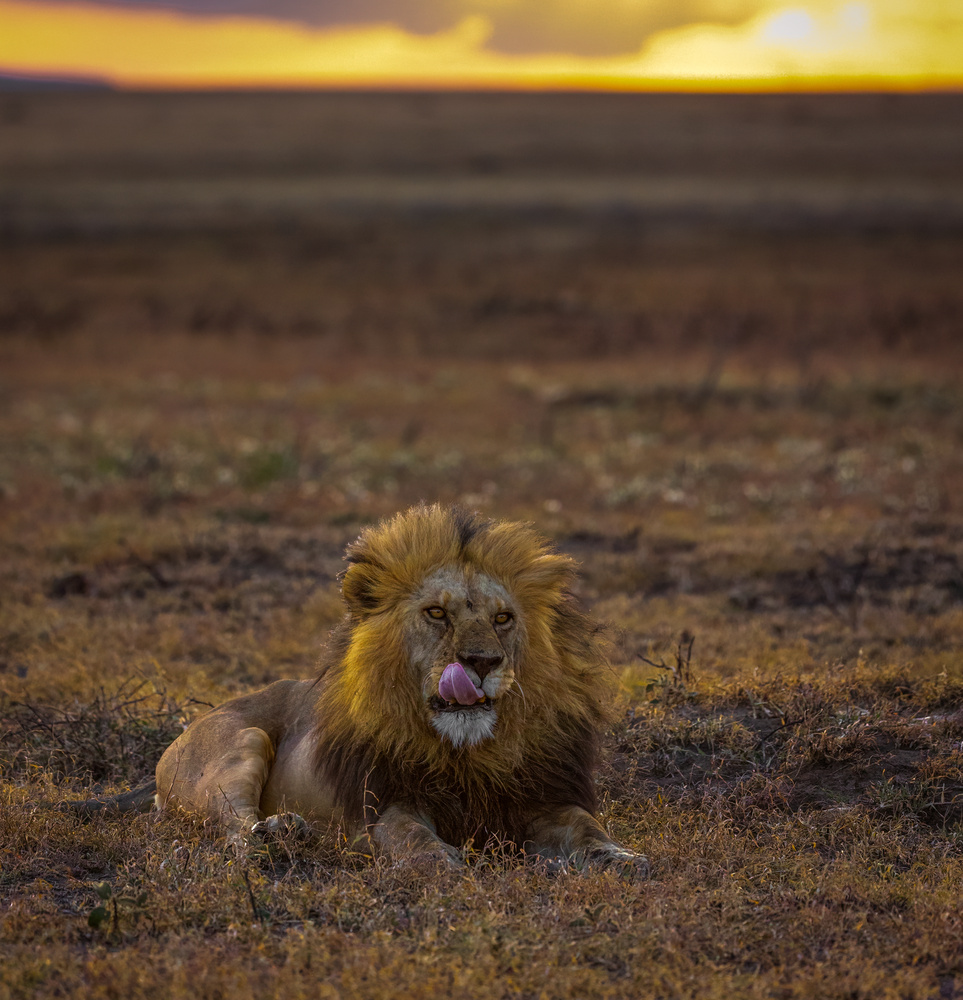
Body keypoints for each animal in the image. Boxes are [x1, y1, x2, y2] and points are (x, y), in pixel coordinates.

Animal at [78, 504, 647, 873]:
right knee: (234, 833)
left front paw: (621, 856)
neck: (468, 752)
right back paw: (279, 838)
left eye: (503, 618)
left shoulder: (543, 795)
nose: (482, 662)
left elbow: (587, 827)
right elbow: (410, 836)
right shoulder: (387, 798)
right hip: (240, 745)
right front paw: (443, 860)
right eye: (436, 614)